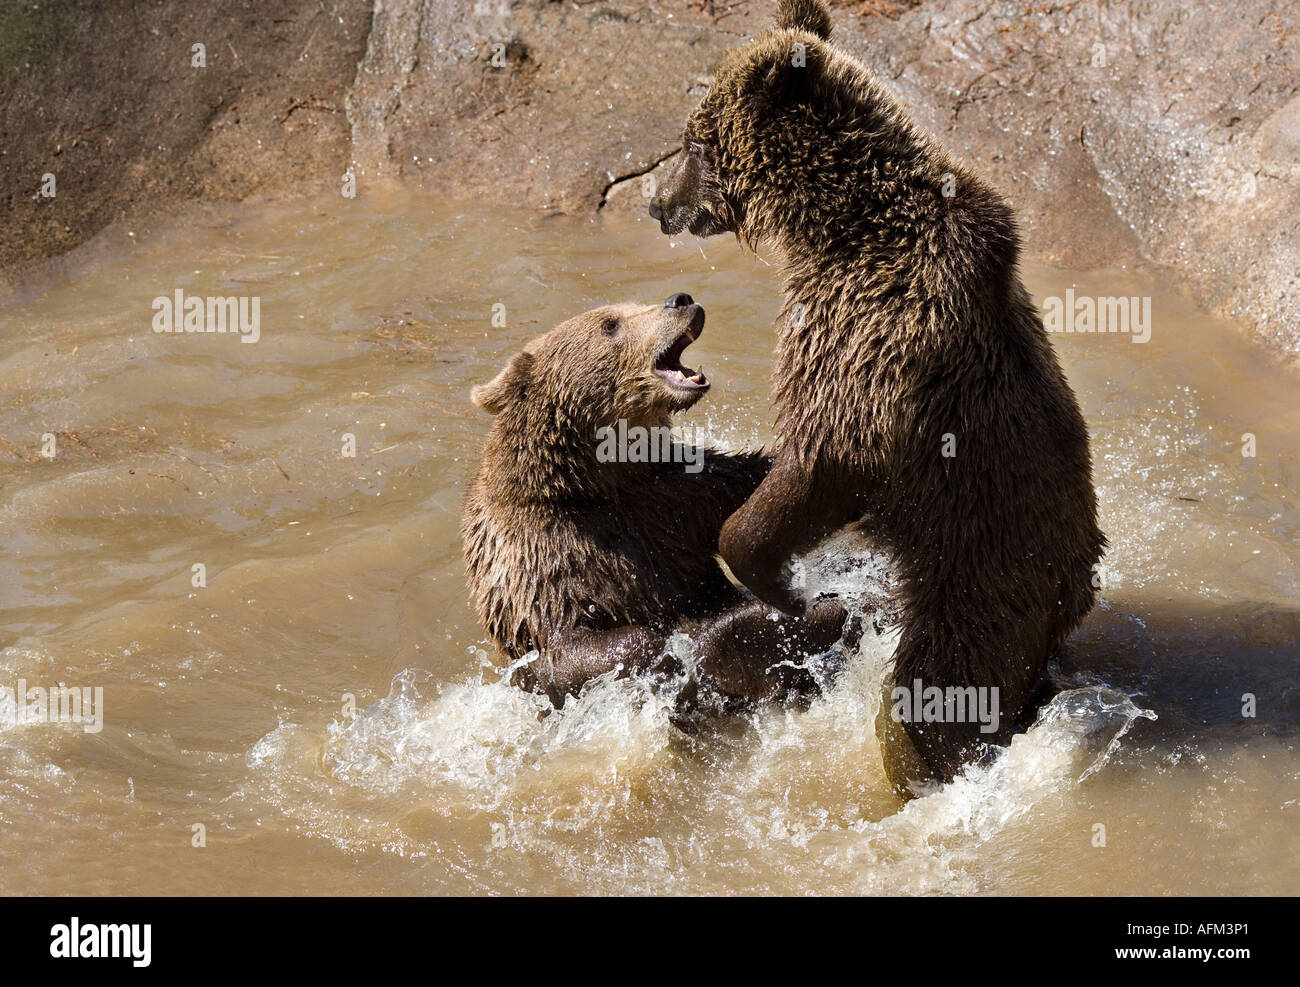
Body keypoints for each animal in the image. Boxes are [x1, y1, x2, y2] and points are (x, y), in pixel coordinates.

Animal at [461, 293, 850, 711]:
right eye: (611, 323)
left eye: (634, 305)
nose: (681, 299)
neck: (595, 481)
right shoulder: (541, 559)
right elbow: (566, 650)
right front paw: (667, 653)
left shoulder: (678, 498)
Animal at [648, 0, 1106, 791]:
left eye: (693, 140)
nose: (657, 202)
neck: (840, 226)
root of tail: (1072, 592)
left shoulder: (878, 337)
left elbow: (825, 458)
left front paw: (783, 585)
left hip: (979, 579)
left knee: (934, 696)